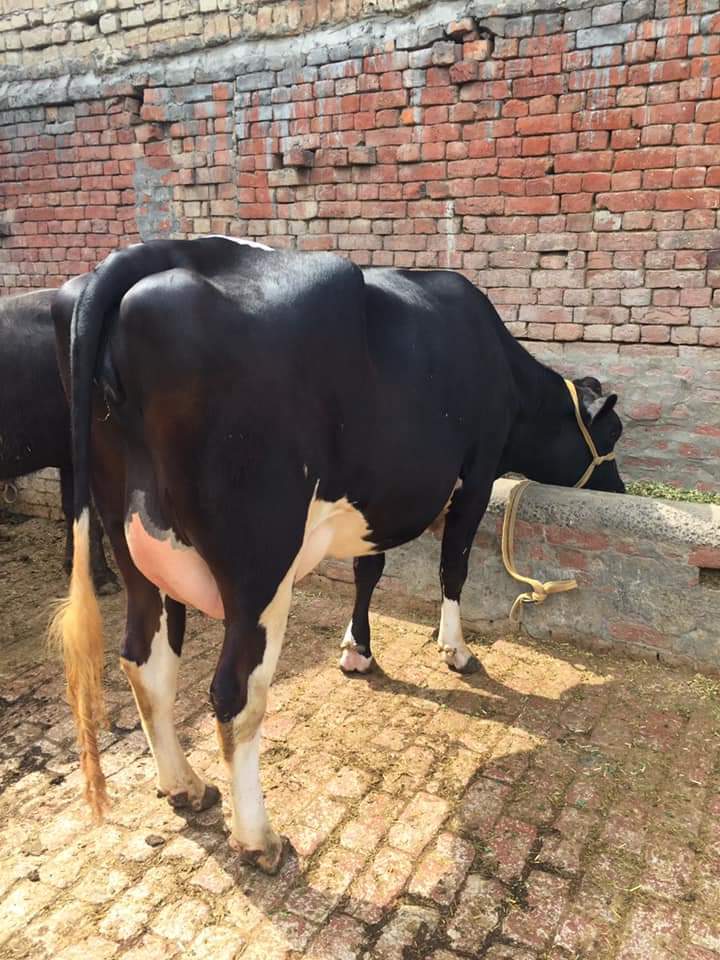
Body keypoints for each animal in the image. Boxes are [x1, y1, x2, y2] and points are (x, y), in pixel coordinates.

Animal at [50, 237, 624, 874]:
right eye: (614, 434)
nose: (621, 488)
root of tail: (152, 254)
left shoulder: (376, 500)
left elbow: (367, 568)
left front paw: (357, 649)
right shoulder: (475, 475)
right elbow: (454, 565)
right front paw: (455, 649)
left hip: (130, 541)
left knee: (144, 660)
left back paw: (185, 785)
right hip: (260, 562)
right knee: (234, 694)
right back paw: (259, 839)